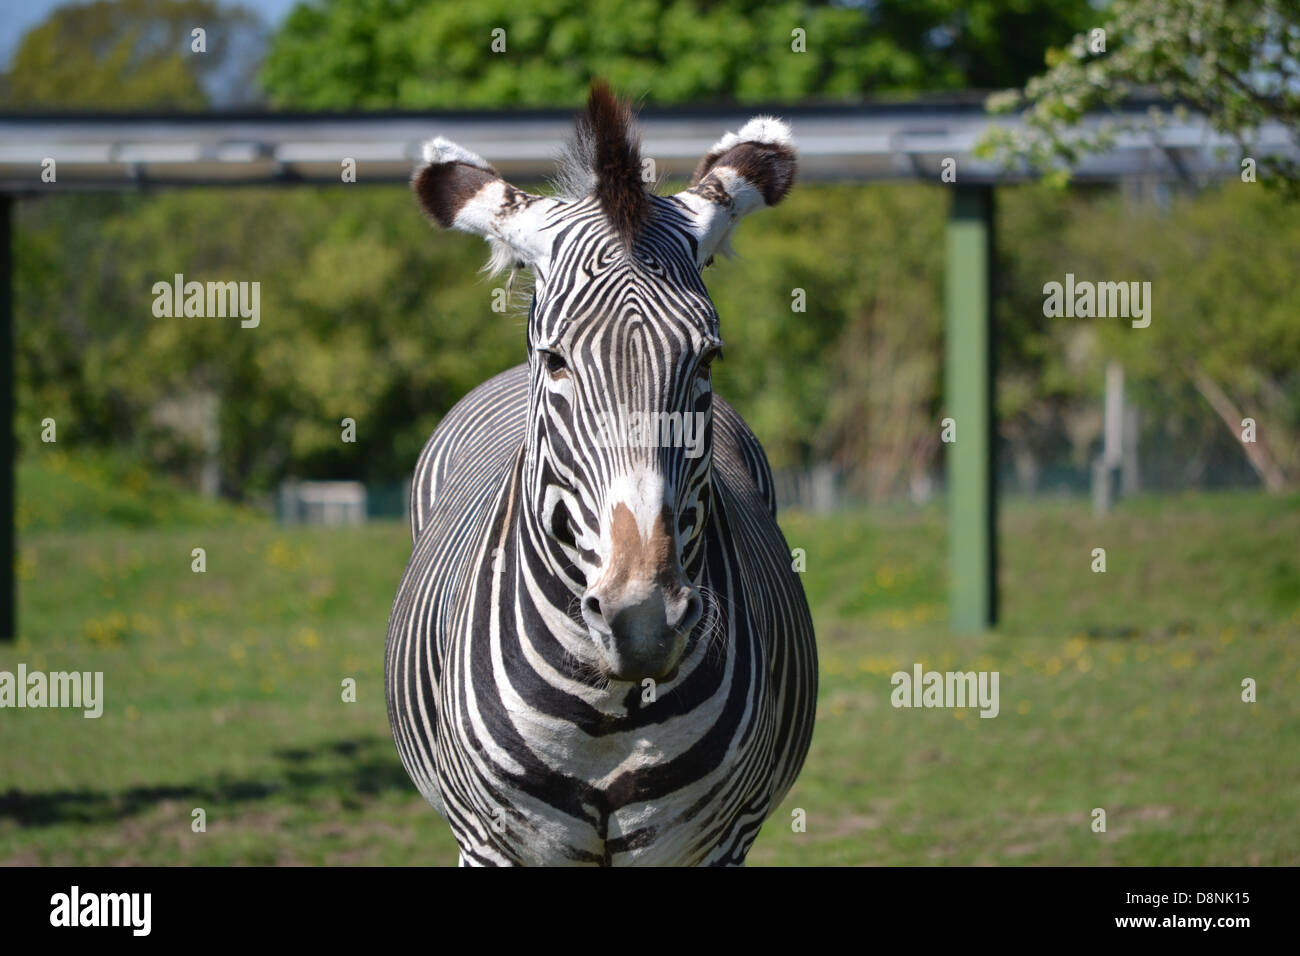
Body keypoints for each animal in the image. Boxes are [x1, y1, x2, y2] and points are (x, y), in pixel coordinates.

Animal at [385, 81, 817, 866]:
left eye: (708, 359)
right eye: (555, 360)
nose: (642, 622)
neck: (608, 710)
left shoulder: (708, 845)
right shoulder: (492, 845)